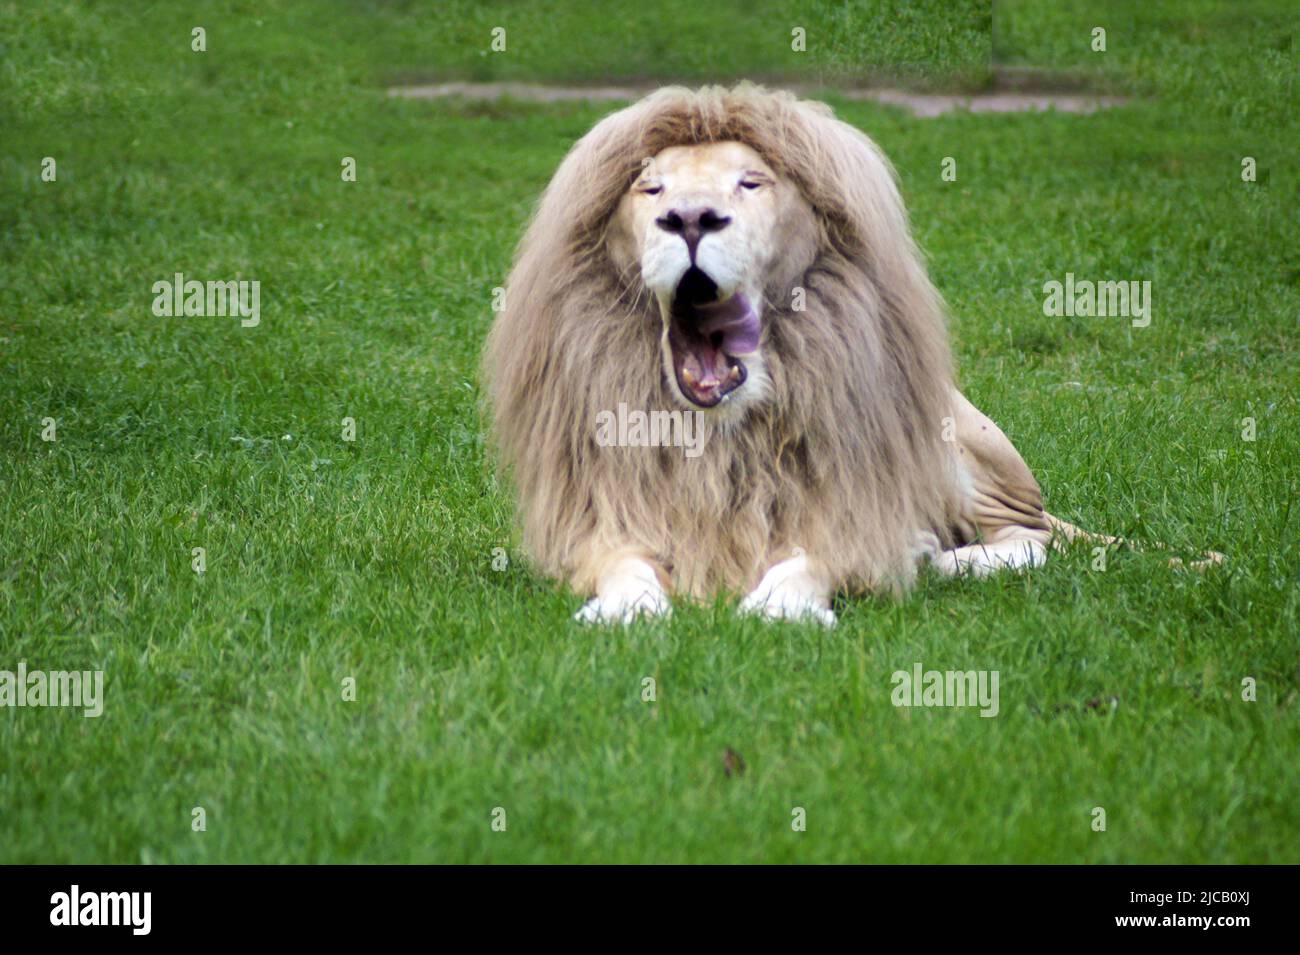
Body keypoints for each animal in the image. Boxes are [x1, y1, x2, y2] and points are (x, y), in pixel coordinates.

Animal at [483, 84, 1213, 626]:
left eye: (751, 183)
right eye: (651, 190)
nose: (690, 219)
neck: (722, 431)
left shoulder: (847, 505)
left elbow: (812, 559)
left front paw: (779, 608)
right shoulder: (599, 515)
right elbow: (625, 566)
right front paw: (625, 611)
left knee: (1028, 540)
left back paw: (931, 555)